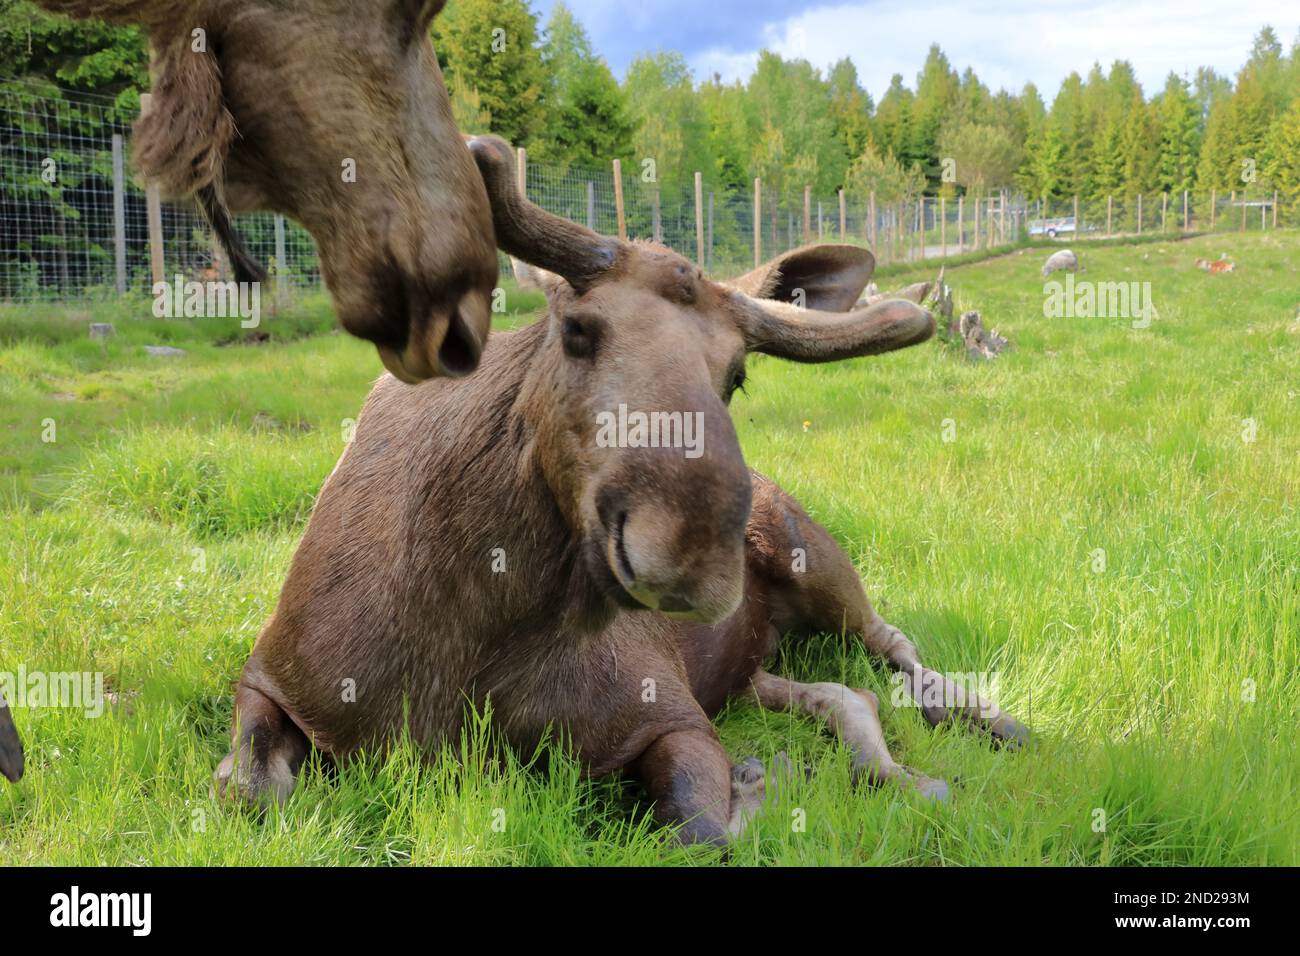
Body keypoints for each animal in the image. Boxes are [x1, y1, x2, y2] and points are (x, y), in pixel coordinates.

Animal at [214, 134, 1029, 845]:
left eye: (736, 373)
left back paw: (983, 723)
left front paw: (764, 779)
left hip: (814, 556)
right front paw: (770, 774)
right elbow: (244, 790)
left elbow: (699, 832)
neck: (458, 631)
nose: (695, 557)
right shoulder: (271, 678)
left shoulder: (669, 713)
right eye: (577, 328)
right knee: (838, 690)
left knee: (892, 646)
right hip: (747, 665)